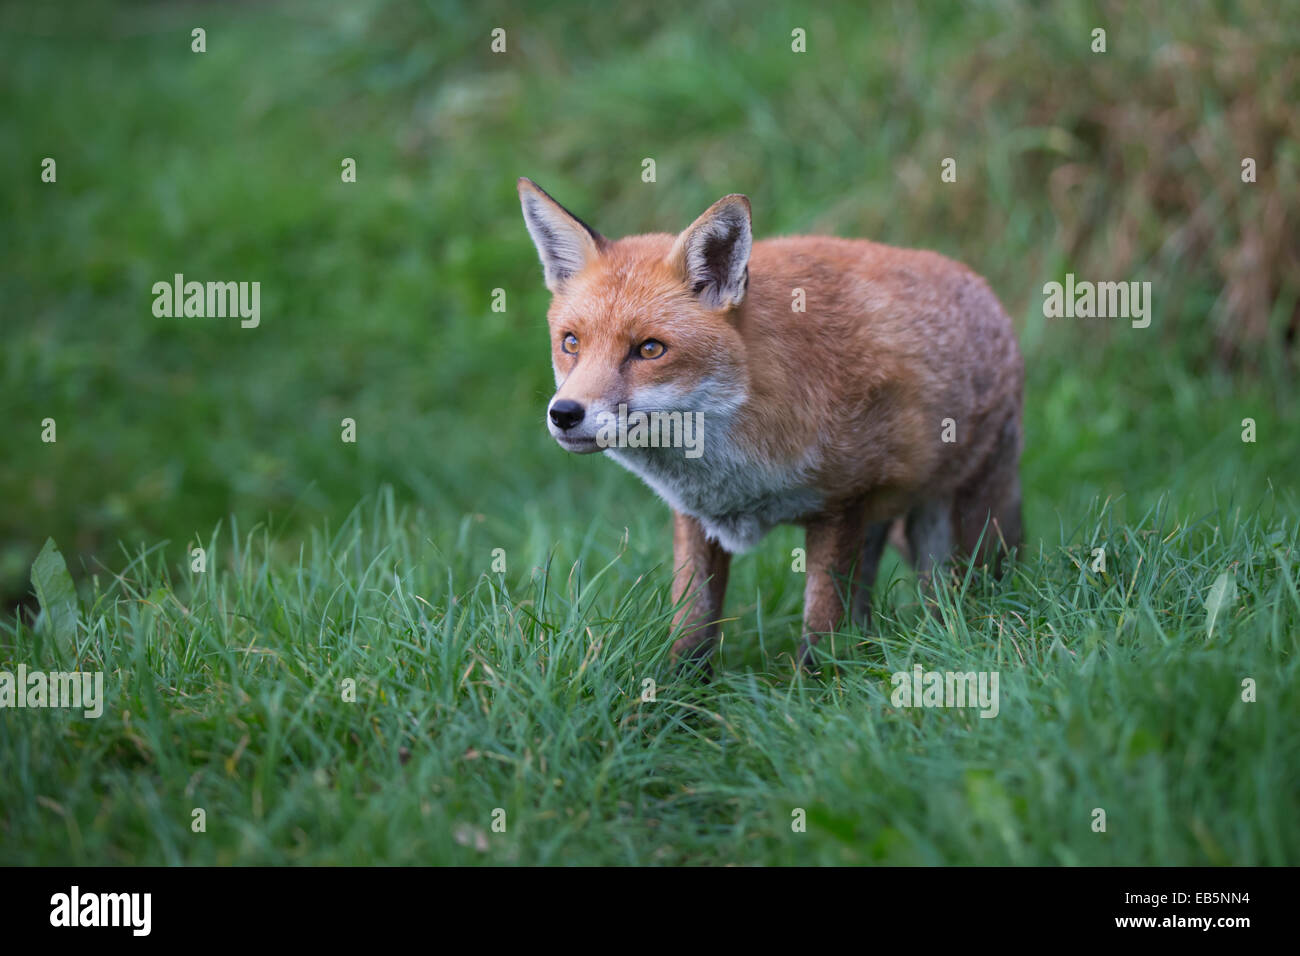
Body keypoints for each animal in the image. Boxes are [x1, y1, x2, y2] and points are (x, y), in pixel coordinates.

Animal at [517, 177, 1024, 670]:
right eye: (570, 342)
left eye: (650, 349)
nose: (565, 413)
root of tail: (986, 291)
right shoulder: (696, 516)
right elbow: (691, 633)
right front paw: (678, 695)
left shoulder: (842, 503)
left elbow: (819, 636)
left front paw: (815, 690)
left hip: (957, 530)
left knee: (953, 597)